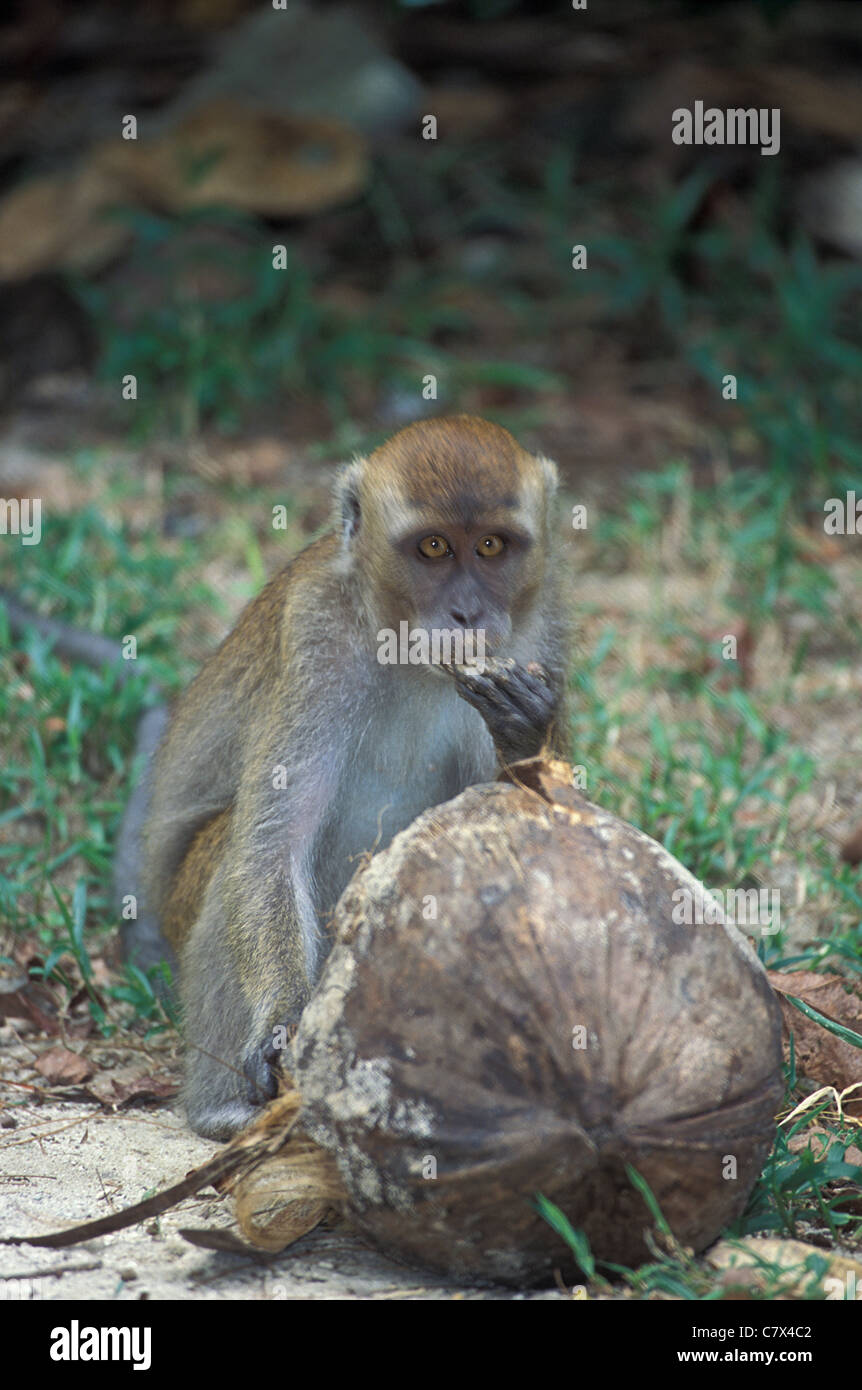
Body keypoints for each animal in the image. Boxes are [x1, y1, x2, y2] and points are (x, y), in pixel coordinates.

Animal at [126, 415, 573, 1139]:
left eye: (490, 545)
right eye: (433, 547)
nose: (468, 613)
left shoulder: (542, 633)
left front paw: (522, 733)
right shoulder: (316, 637)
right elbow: (270, 849)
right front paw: (280, 1029)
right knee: (229, 861)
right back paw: (224, 1110)